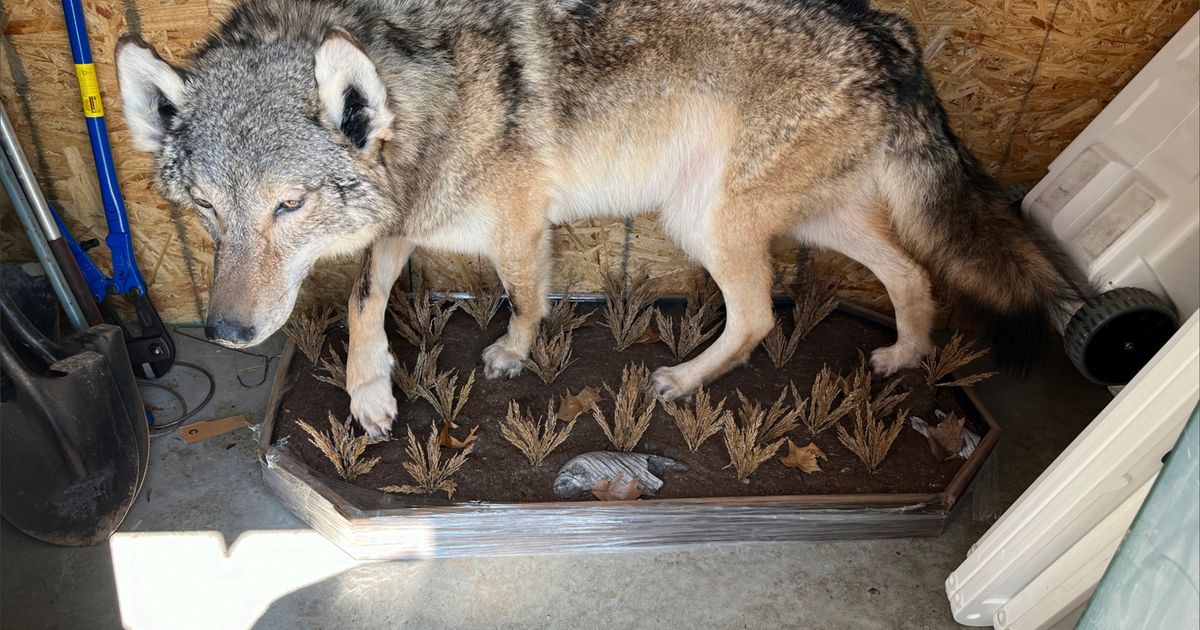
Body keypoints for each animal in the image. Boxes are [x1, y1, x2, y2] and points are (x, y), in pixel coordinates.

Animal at [116, 0, 1079, 438]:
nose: (227, 332)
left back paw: (683, 383)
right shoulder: (404, 219)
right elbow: (361, 305)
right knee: (910, 274)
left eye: (290, 204)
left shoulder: (514, 223)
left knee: (761, 316)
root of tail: (894, 32)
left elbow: (524, 298)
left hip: (705, 223)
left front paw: (510, 355)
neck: (424, 87)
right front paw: (370, 395)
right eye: (208, 211)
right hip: (796, 220)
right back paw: (906, 357)